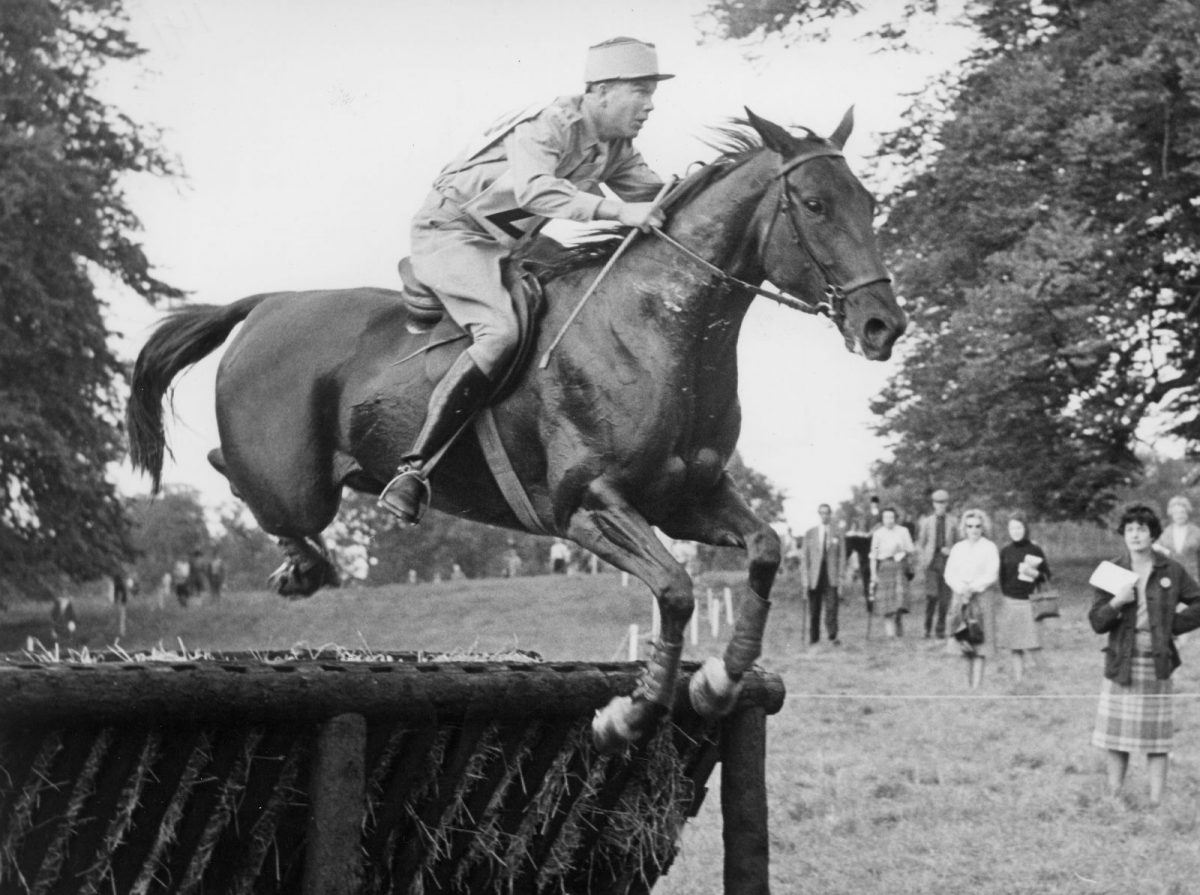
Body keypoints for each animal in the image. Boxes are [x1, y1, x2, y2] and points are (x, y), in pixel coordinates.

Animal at [127, 108, 906, 751]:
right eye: (814, 205)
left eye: (870, 202)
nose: (883, 326)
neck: (659, 329)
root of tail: (265, 304)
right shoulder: (587, 506)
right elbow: (678, 589)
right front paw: (631, 713)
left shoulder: (689, 498)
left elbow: (766, 549)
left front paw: (720, 679)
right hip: (296, 484)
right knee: (234, 470)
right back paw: (309, 560)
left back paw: (309, 561)